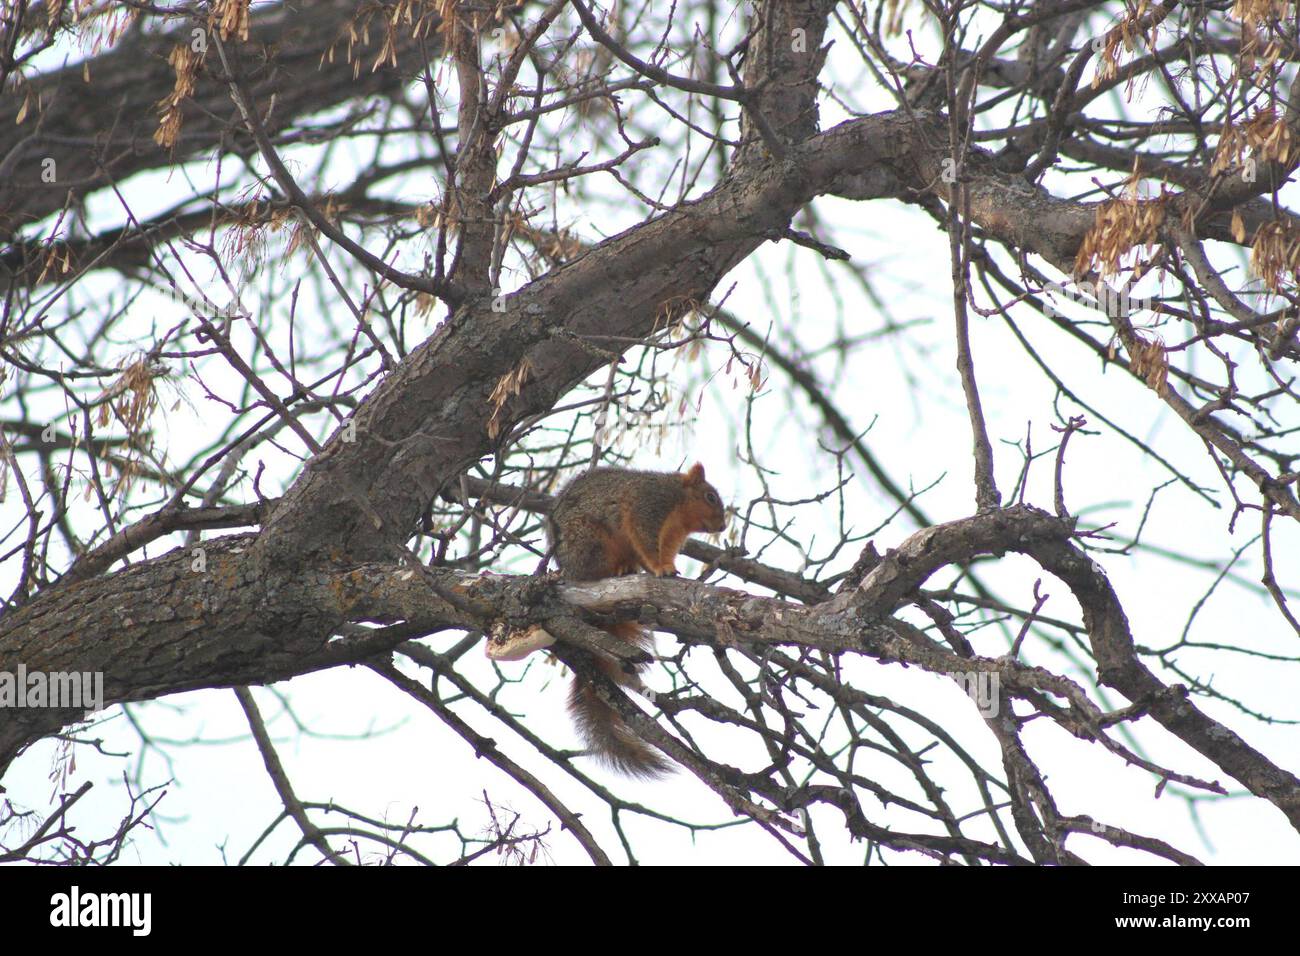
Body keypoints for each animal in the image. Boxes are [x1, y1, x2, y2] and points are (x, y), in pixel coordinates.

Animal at [546, 462, 727, 777]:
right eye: (710, 497)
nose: (722, 527)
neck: (677, 504)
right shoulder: (647, 506)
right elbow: (645, 540)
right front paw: (660, 568)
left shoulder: (670, 536)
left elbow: (661, 551)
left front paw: (666, 566)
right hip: (588, 540)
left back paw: (626, 568)